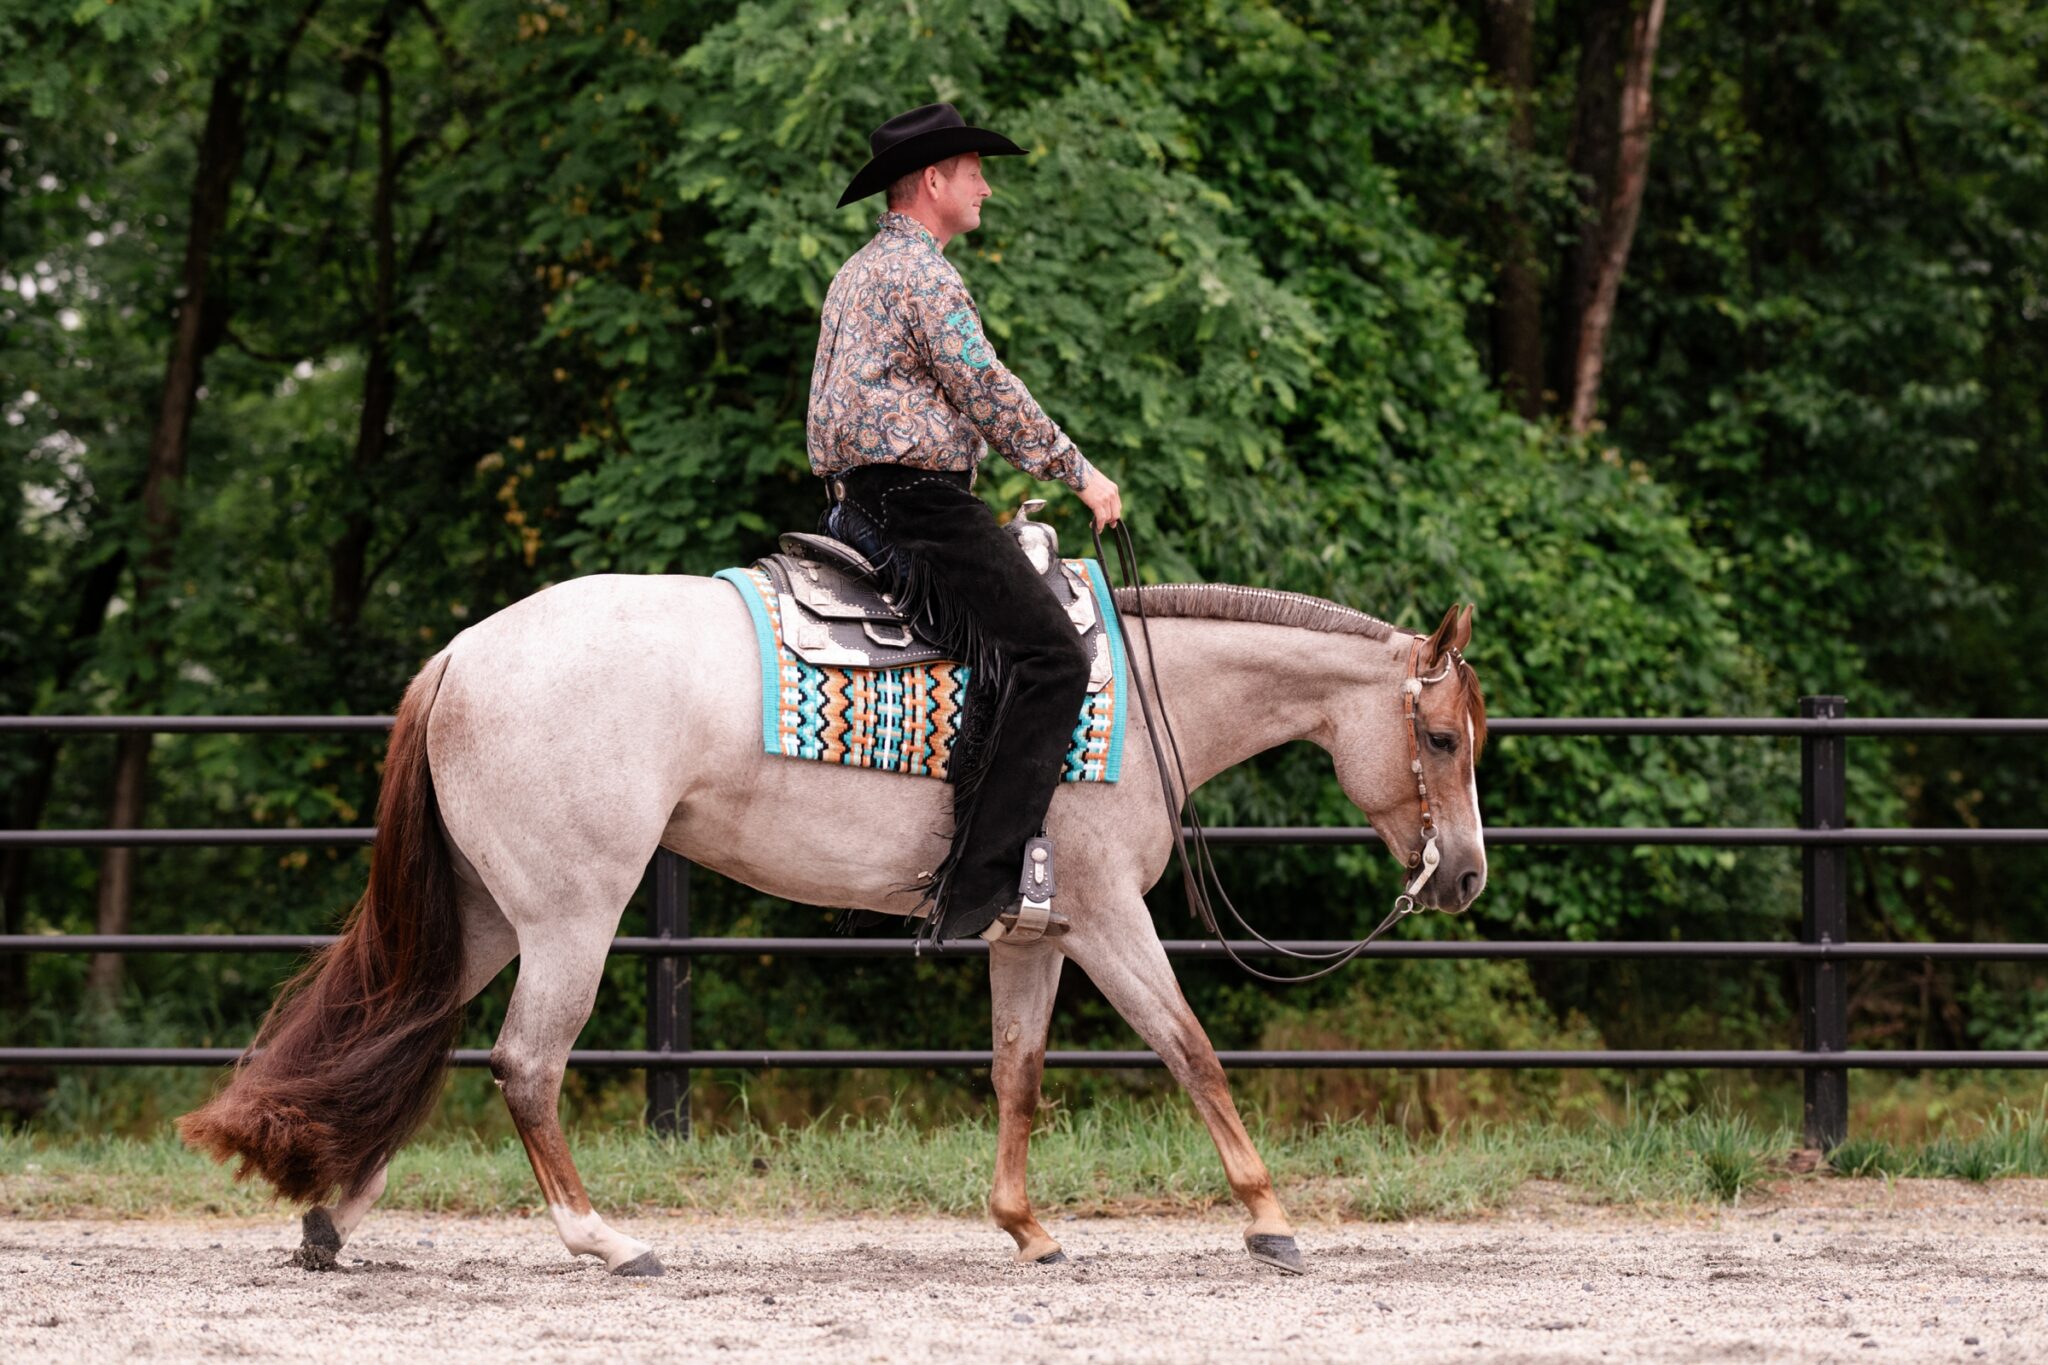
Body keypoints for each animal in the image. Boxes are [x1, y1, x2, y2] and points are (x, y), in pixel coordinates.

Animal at [179, 569, 1488, 1278]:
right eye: (1439, 738)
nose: (1465, 878)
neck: (1133, 696)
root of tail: (458, 654)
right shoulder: (1111, 918)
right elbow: (1191, 1049)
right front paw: (1269, 1219)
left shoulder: (1037, 934)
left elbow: (1015, 1075)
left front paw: (1025, 1229)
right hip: (569, 917)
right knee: (523, 1065)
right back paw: (604, 1240)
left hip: (484, 913)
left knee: (406, 1034)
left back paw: (331, 1218)